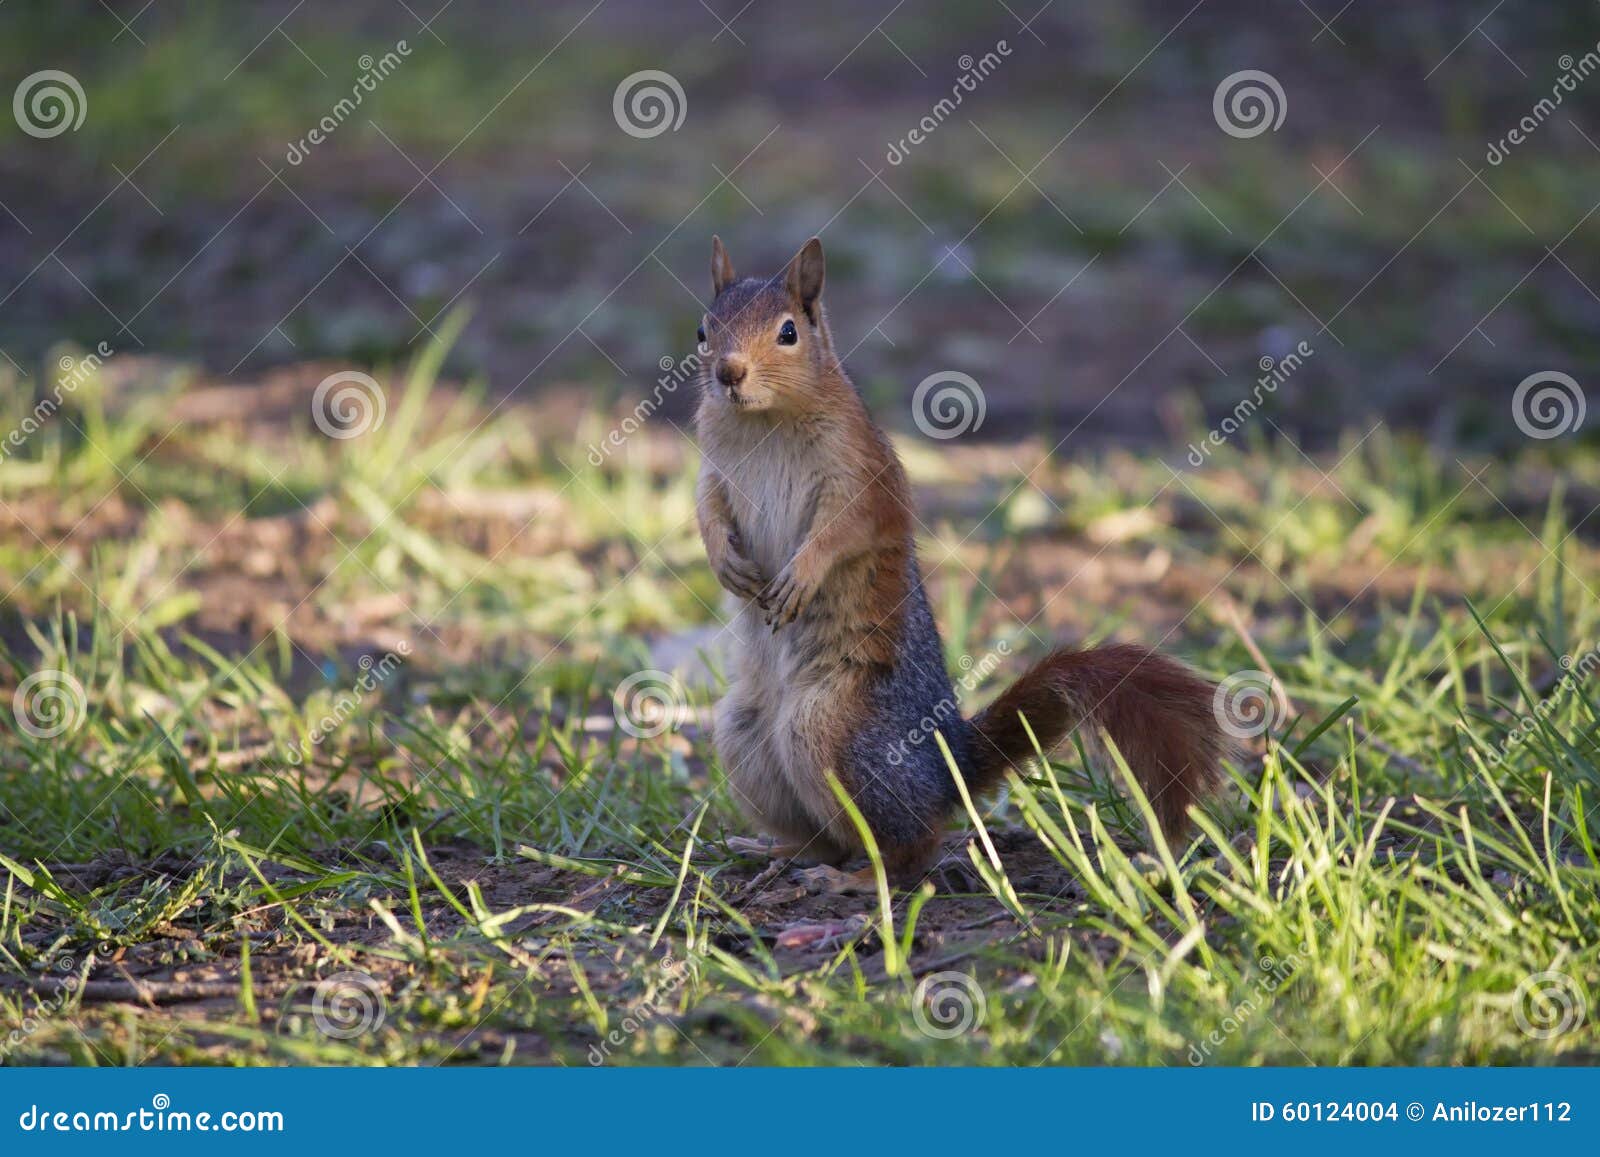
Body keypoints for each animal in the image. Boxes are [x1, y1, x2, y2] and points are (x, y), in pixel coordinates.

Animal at [694, 234, 1226, 894]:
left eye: (788, 332)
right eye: (703, 330)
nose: (728, 372)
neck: (762, 421)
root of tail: (949, 767)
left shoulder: (863, 473)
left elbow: (847, 528)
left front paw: (802, 573)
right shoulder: (713, 468)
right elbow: (708, 510)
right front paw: (724, 561)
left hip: (832, 731)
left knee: (910, 847)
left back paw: (856, 879)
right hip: (743, 735)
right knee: (831, 839)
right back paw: (779, 851)